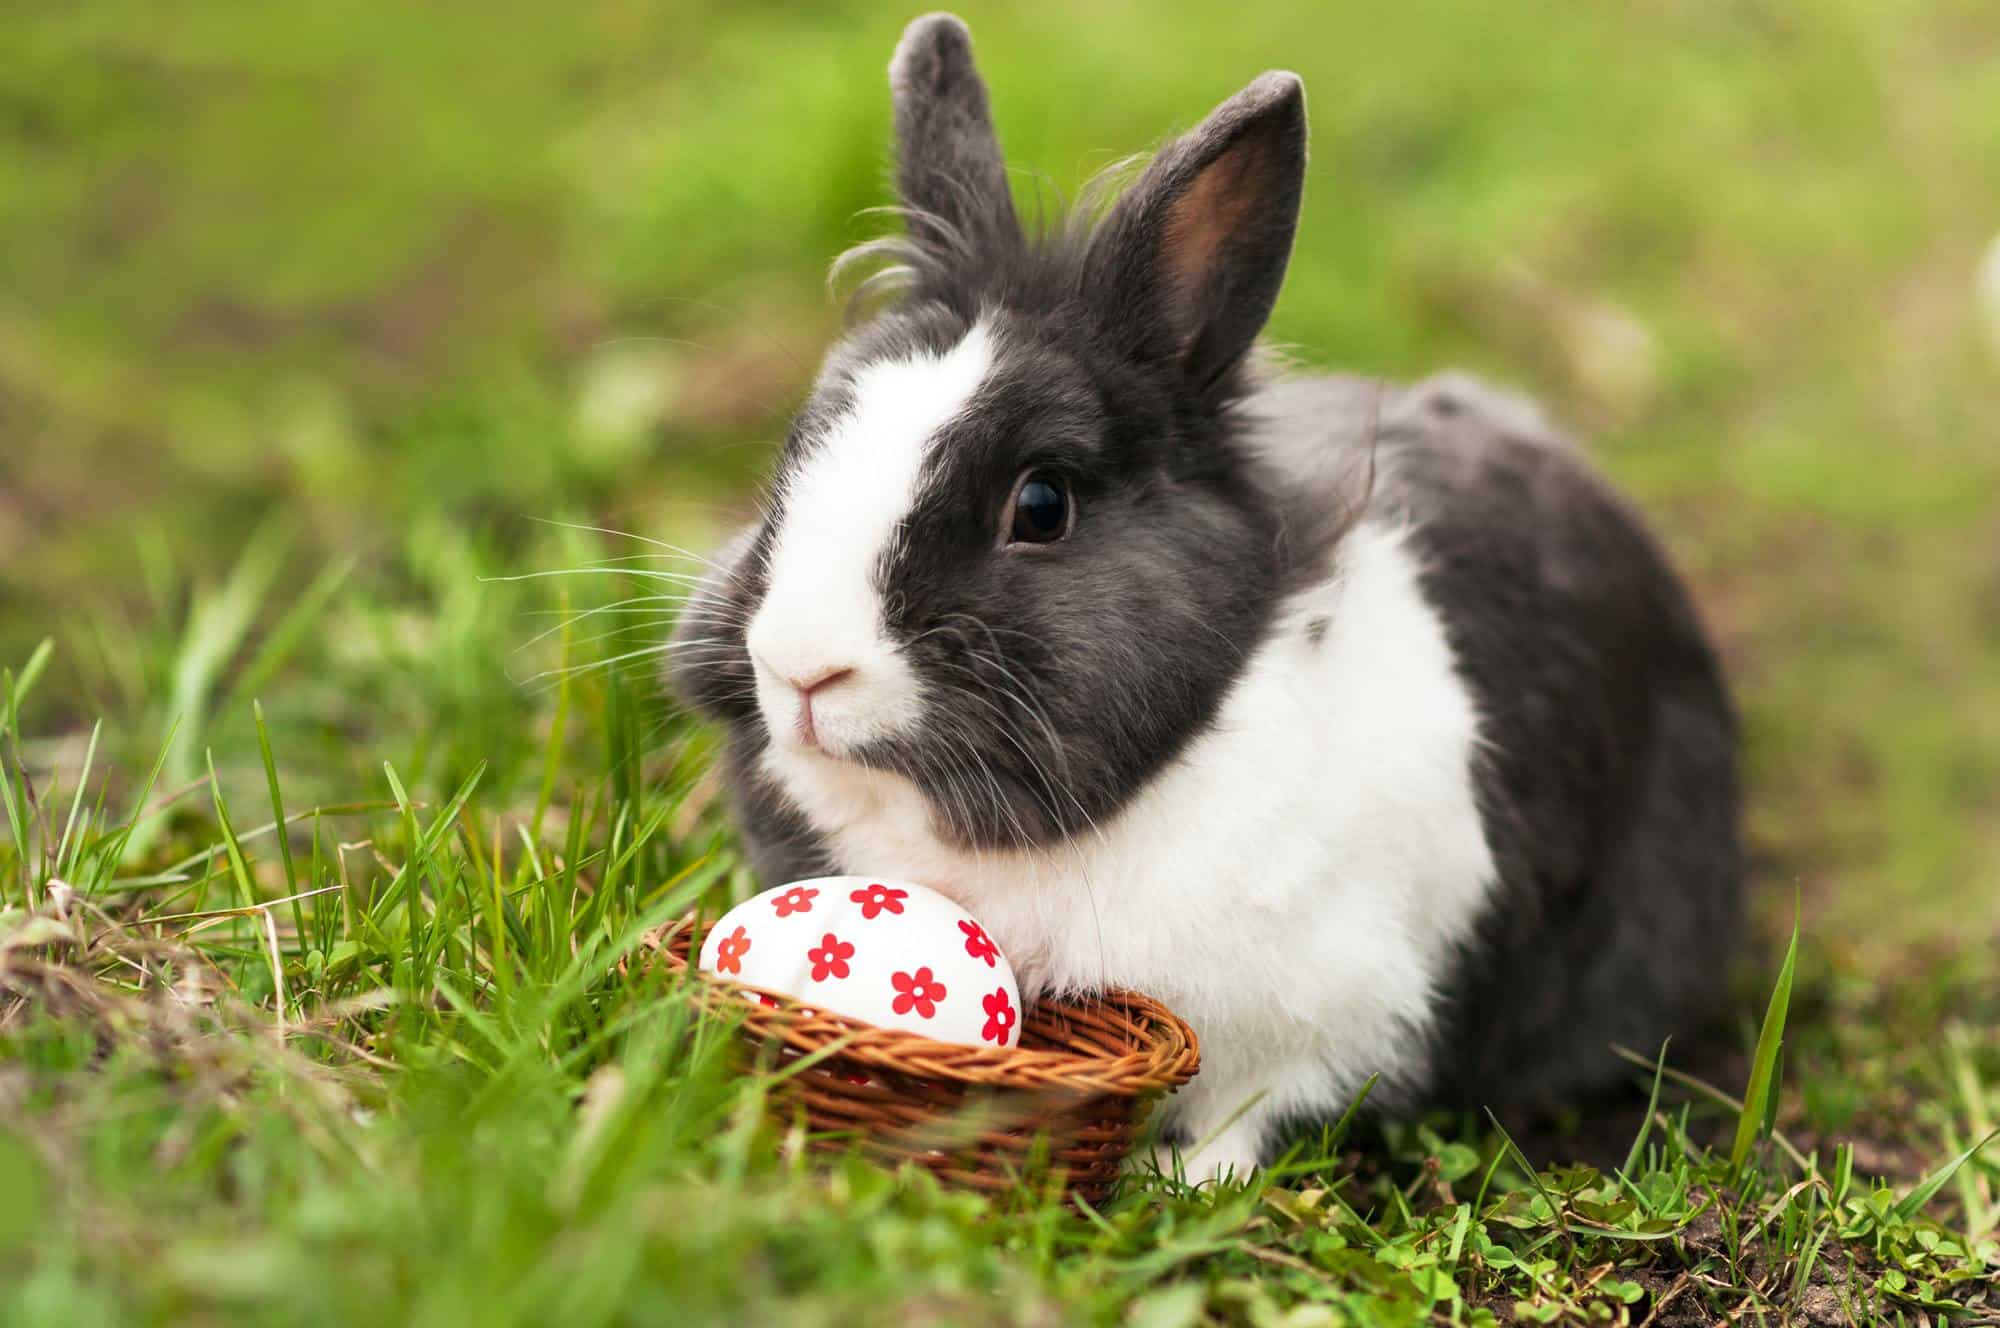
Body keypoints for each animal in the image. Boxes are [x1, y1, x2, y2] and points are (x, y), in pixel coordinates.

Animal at [666, 13, 1742, 1184]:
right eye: (796, 450)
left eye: (1039, 504)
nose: (798, 665)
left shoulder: (1325, 1014)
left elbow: (1251, 1109)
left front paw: (1183, 1181)